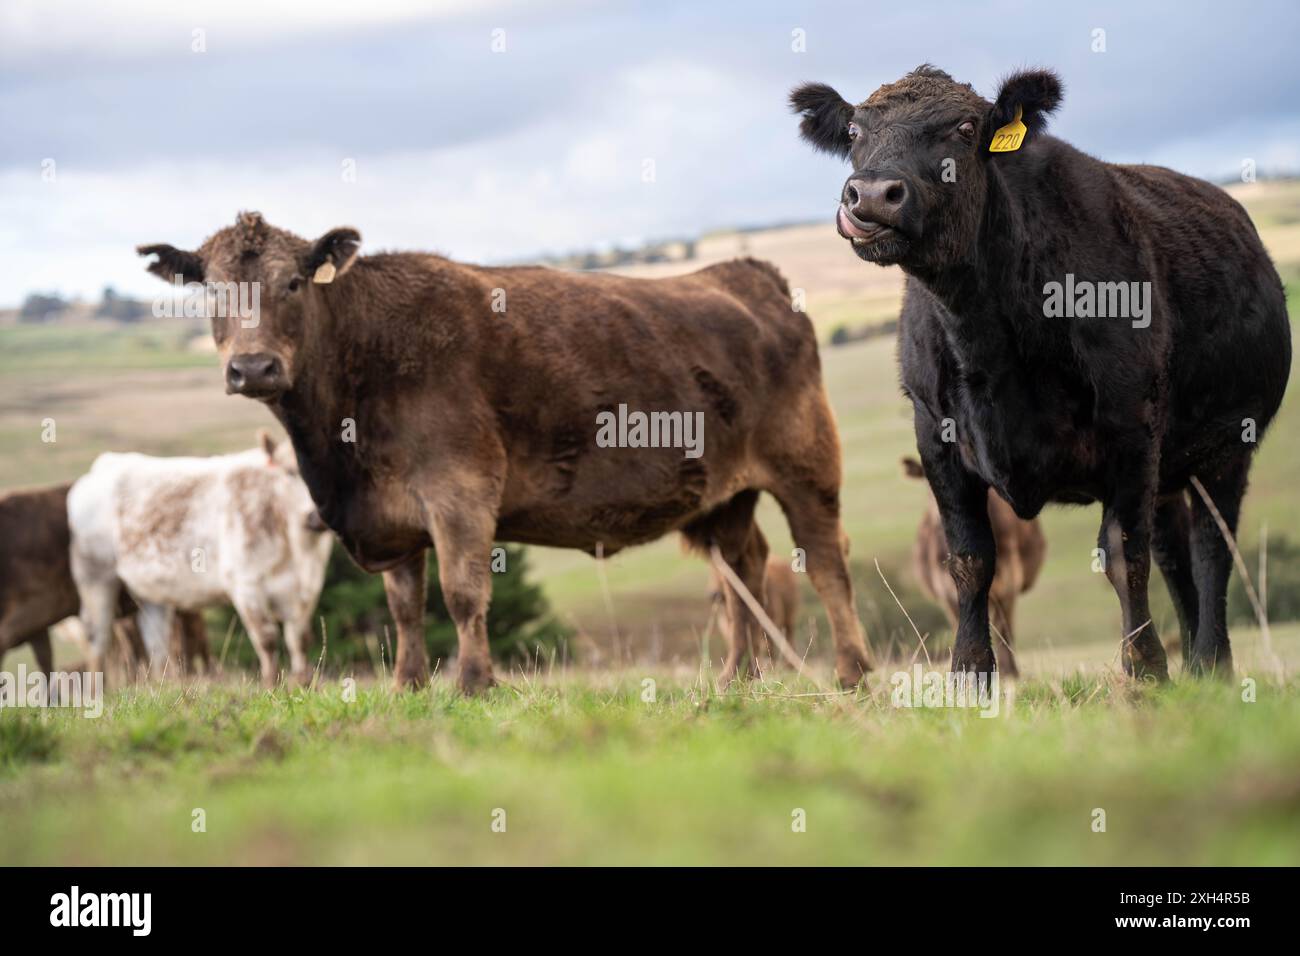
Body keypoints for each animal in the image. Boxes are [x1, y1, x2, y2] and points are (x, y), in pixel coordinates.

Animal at [67, 433, 332, 686]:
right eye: (290, 472)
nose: (316, 517)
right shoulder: (246, 586)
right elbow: (266, 638)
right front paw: (271, 687)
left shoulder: (307, 590)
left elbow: (300, 639)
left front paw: (304, 684)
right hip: (96, 578)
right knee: (98, 640)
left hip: (151, 593)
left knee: (157, 643)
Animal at [135, 211, 874, 693]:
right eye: (211, 288)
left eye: (293, 283)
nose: (253, 367)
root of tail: (743, 273)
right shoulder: (391, 518)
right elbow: (405, 607)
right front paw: (408, 689)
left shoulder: (459, 488)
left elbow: (463, 594)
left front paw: (473, 683)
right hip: (724, 493)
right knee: (741, 569)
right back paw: (737, 678)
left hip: (807, 464)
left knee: (826, 562)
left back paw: (851, 672)